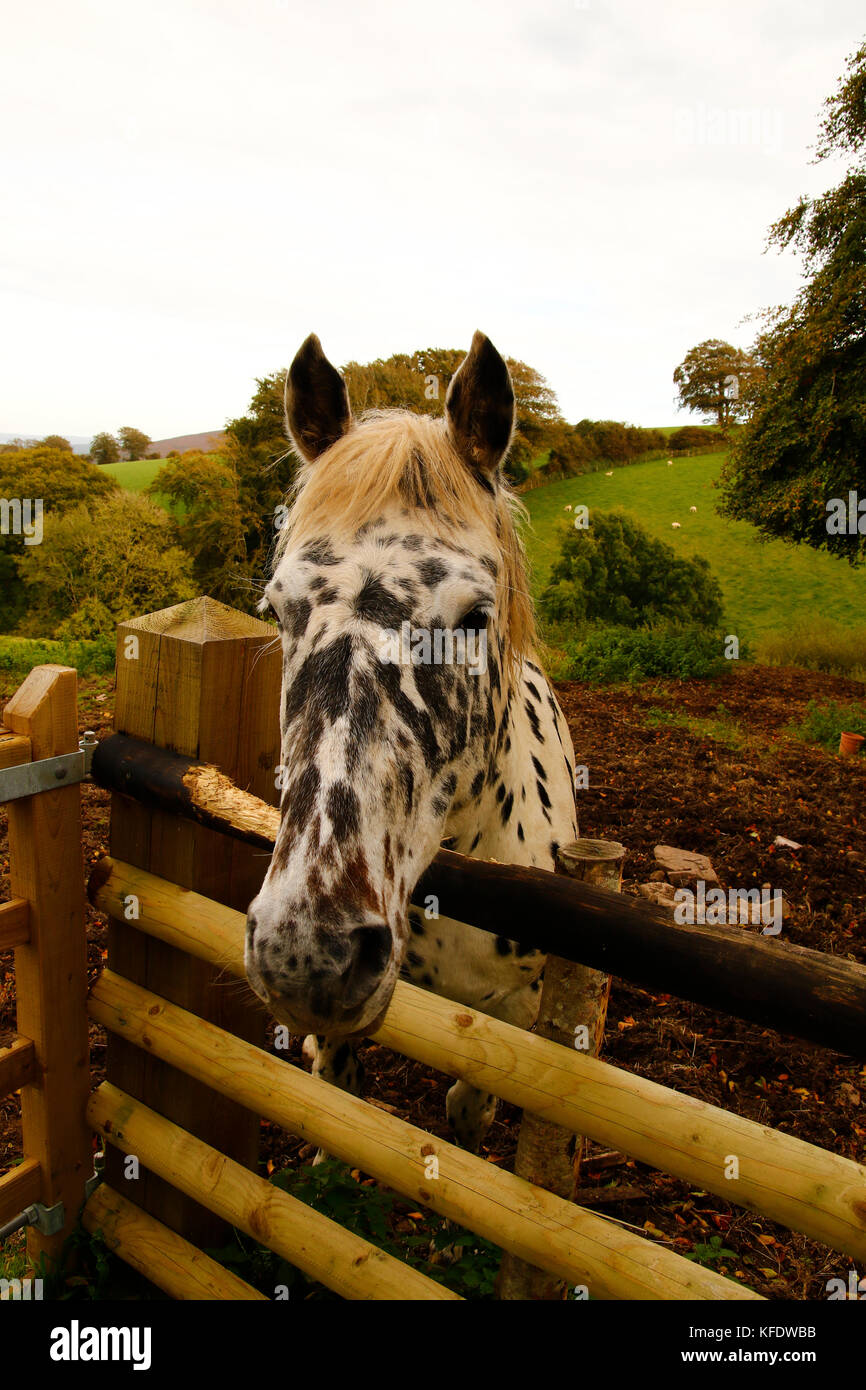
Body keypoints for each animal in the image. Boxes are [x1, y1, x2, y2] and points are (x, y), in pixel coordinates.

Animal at [245, 331, 578, 1153]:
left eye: (474, 616)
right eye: (278, 609)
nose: (307, 952)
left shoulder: (512, 1013)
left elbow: (468, 1113)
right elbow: (338, 1088)